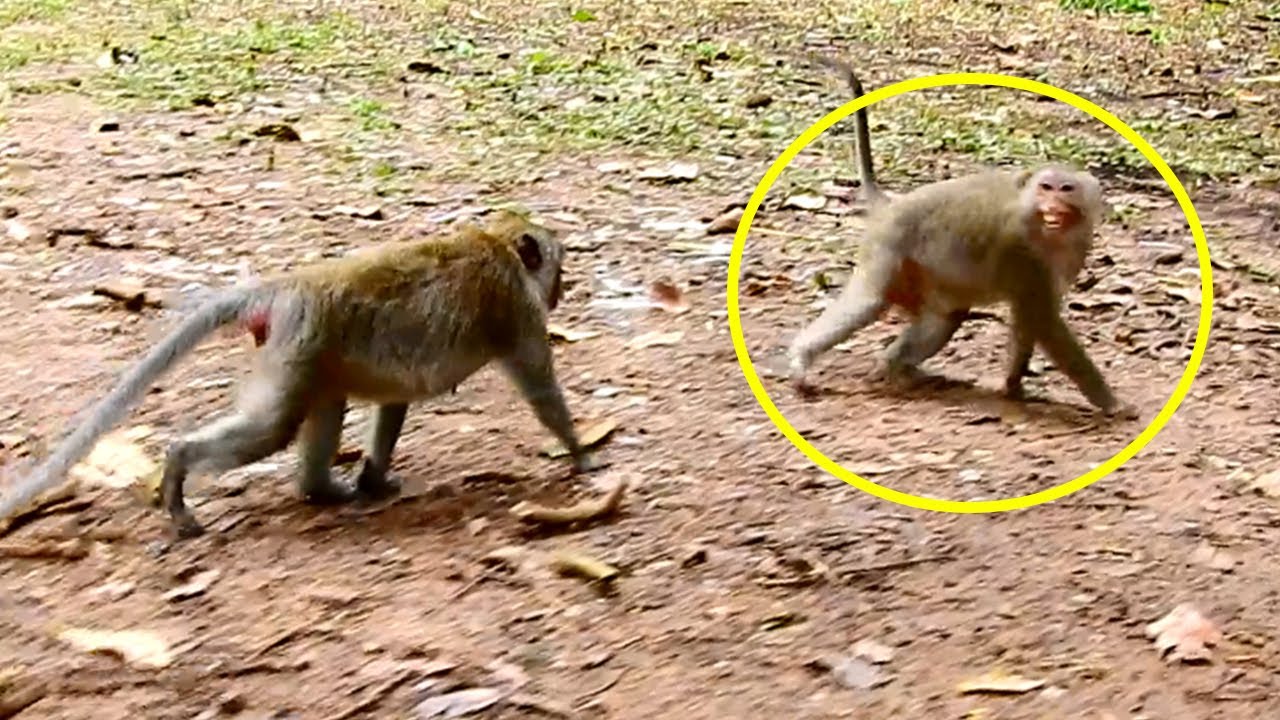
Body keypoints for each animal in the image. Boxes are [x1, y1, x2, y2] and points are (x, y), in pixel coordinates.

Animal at [0, 210, 598, 538]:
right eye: (559, 267)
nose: (563, 290)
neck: (498, 247)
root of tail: (289, 287)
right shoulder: (517, 310)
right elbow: (539, 386)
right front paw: (580, 453)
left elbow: (394, 400)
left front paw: (375, 478)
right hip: (299, 347)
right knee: (273, 426)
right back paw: (177, 468)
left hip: (312, 357)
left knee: (323, 408)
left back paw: (321, 490)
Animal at [788, 56, 1134, 418]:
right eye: (1046, 187)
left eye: (1066, 189)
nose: (1051, 204)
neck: (1047, 232)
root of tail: (891, 204)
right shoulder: (1020, 251)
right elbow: (1045, 322)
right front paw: (1111, 403)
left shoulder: (1077, 247)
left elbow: (1028, 320)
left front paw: (1013, 386)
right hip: (885, 248)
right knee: (867, 303)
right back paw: (804, 358)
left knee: (946, 317)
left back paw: (896, 367)